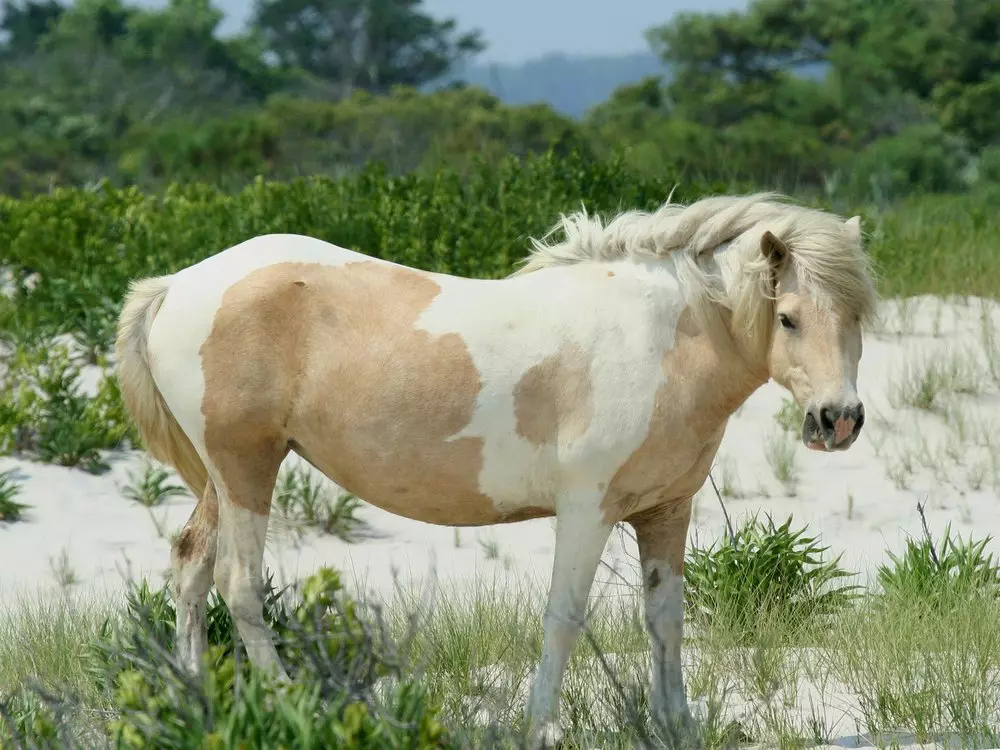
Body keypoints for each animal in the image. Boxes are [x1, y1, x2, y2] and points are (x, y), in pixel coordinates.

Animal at [111, 192, 876, 748]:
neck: (662, 338)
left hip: (224, 477)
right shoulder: (587, 510)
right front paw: (543, 729)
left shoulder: (666, 510)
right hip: (246, 469)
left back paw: (197, 707)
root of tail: (177, 284)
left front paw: (676, 727)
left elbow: (665, 621)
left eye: (855, 320)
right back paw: (289, 707)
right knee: (239, 585)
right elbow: (564, 619)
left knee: (191, 568)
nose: (839, 419)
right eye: (788, 318)